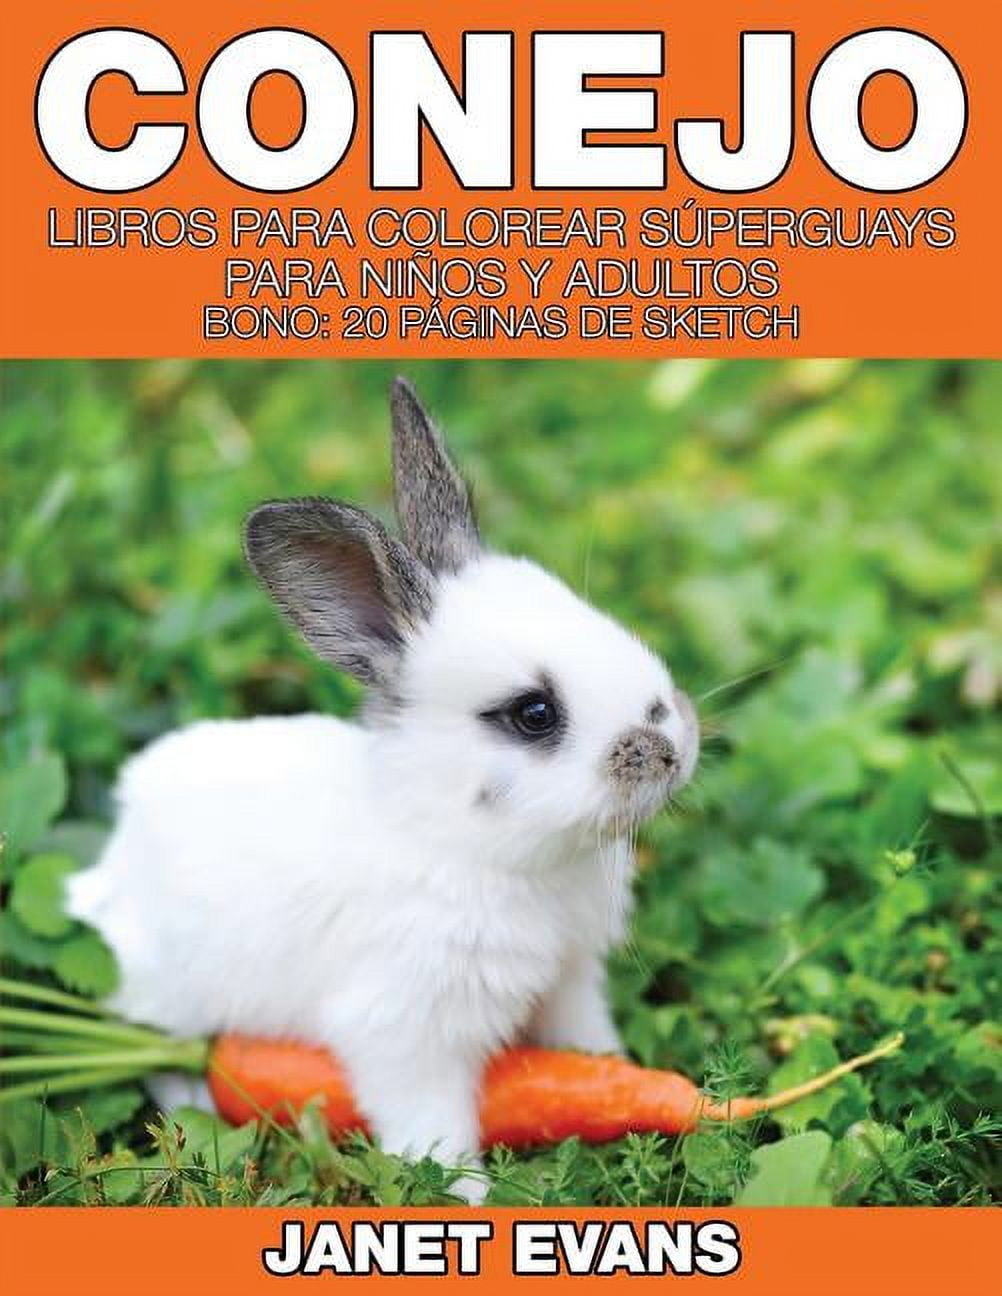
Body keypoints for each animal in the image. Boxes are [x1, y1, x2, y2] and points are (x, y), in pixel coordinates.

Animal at [66, 379, 699, 1201]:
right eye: (533, 714)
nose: (672, 747)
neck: (470, 845)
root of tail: (109, 871)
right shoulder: (406, 1034)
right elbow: (435, 1129)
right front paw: (465, 1199)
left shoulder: (569, 981)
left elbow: (585, 1048)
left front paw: (621, 1077)